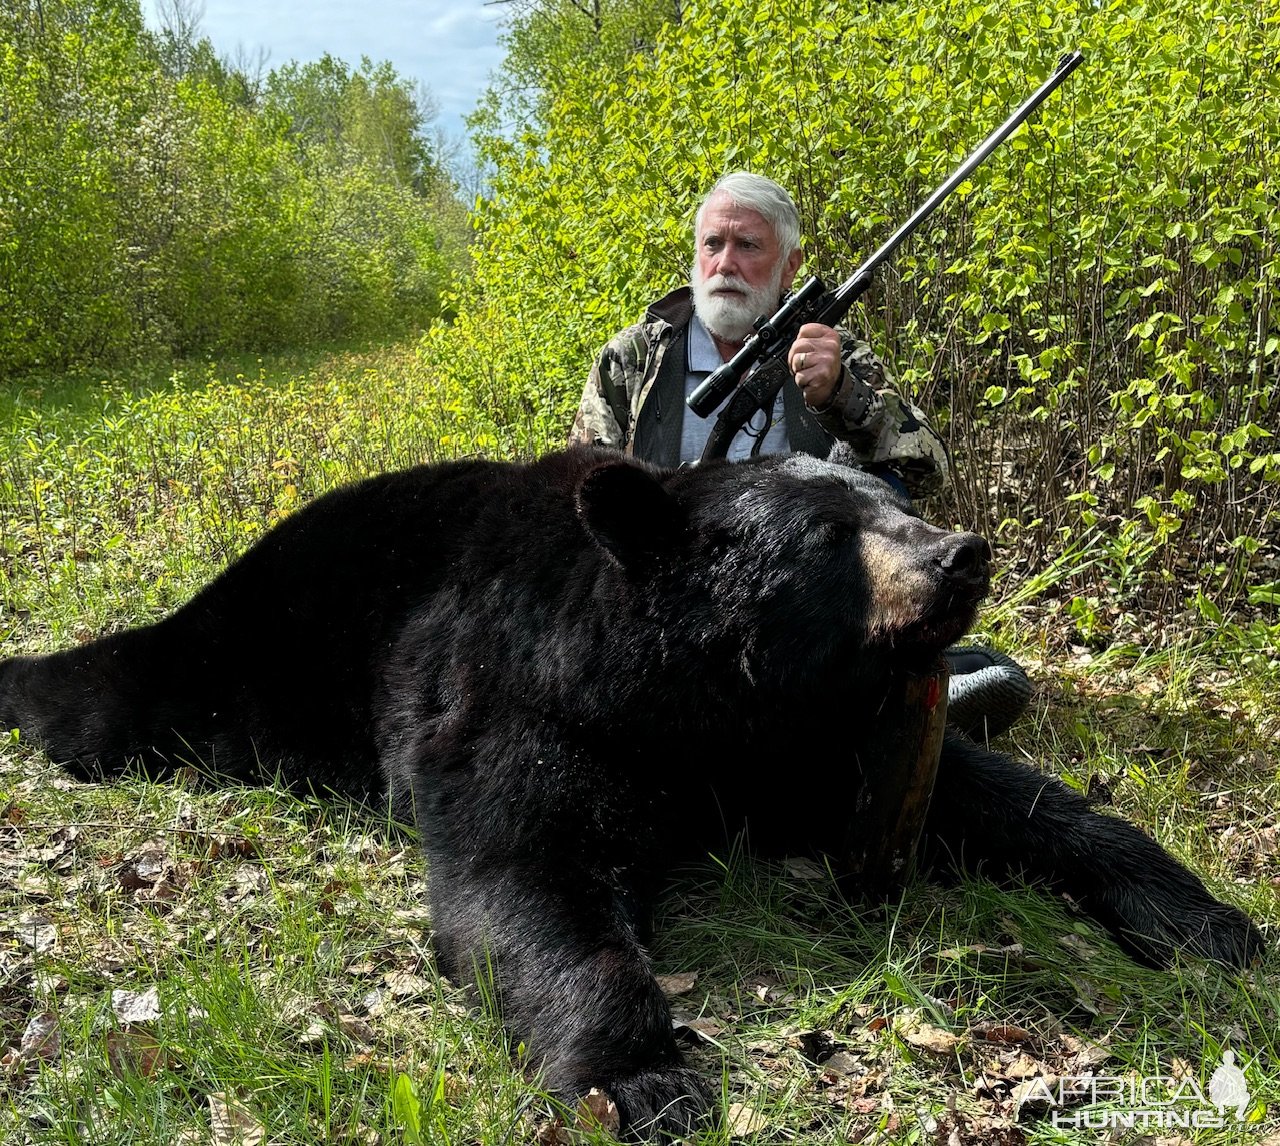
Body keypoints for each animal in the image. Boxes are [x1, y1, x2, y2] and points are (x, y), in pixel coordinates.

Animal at [0, 445, 1263, 1139]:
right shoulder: (528, 702)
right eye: (826, 535)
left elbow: (1017, 804)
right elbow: (527, 873)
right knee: (112, 693)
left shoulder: (822, 743)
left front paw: (1202, 918)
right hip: (238, 655)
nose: (961, 553)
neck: (713, 700)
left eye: (893, 503)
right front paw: (645, 1078)